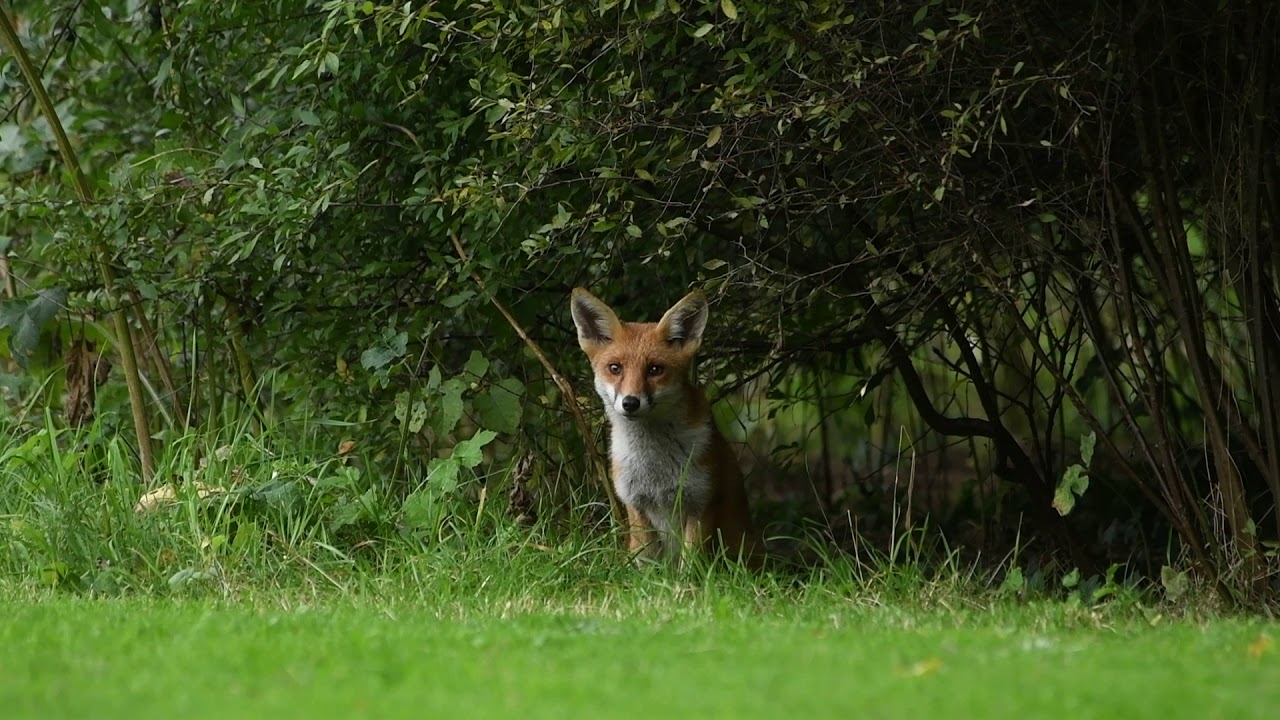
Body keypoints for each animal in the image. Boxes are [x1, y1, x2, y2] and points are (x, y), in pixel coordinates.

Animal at [570, 287, 761, 566]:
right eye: (615, 368)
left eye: (655, 369)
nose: (630, 402)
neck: (655, 469)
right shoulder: (636, 505)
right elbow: (647, 563)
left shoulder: (700, 502)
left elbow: (690, 565)